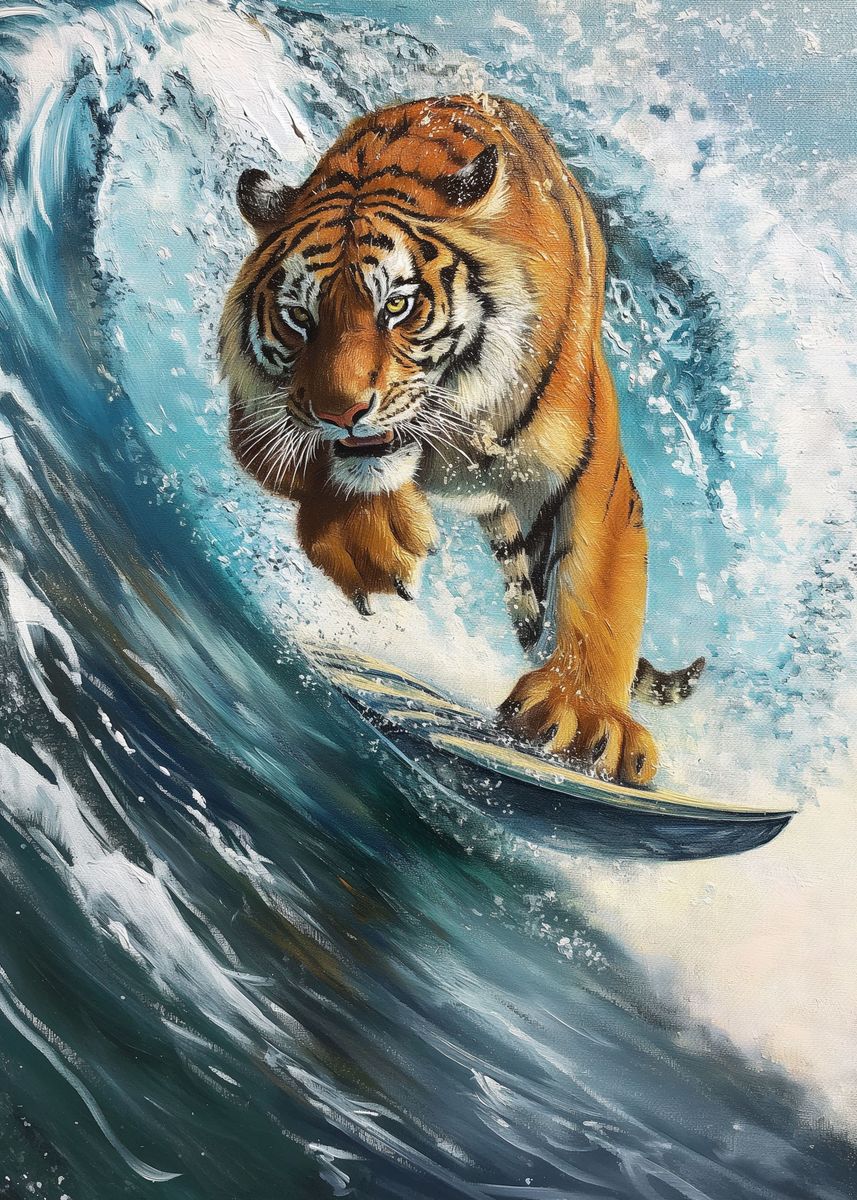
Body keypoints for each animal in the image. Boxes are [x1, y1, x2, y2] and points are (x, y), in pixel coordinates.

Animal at [219, 94, 704, 785]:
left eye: (396, 306)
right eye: (299, 318)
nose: (341, 411)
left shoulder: (590, 471)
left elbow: (600, 590)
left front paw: (584, 721)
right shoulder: (257, 417)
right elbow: (323, 472)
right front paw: (373, 543)